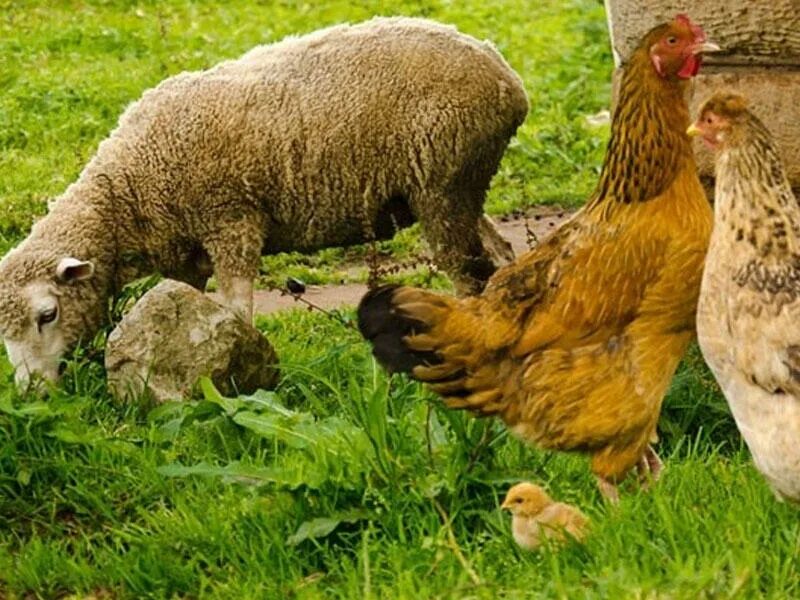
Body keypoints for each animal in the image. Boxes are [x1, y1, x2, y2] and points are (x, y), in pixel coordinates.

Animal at [0, 16, 528, 388]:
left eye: (47, 315)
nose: (31, 393)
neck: (126, 188)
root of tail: (507, 77)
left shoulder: (231, 220)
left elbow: (236, 312)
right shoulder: (183, 254)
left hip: (443, 185)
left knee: (468, 274)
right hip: (460, 185)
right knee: (501, 258)